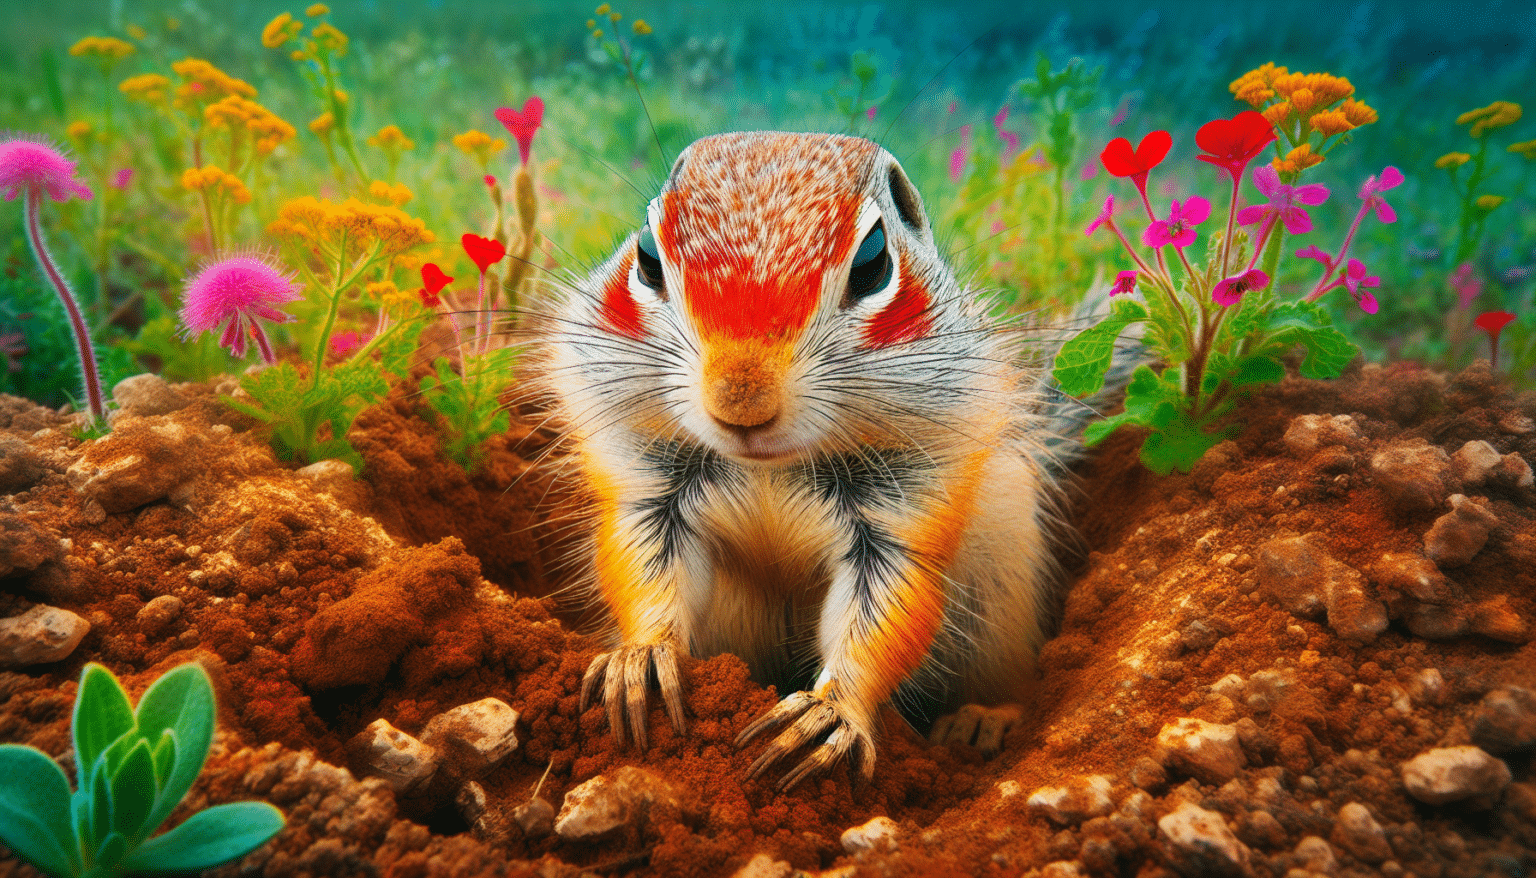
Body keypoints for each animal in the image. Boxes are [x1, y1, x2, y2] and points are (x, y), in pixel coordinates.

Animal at [535, 131, 1082, 791]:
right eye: (645, 255)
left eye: (873, 261)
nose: (741, 398)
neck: (768, 466)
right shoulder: (647, 492)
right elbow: (645, 570)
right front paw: (640, 659)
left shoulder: (908, 511)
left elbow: (887, 613)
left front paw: (828, 715)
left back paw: (980, 720)